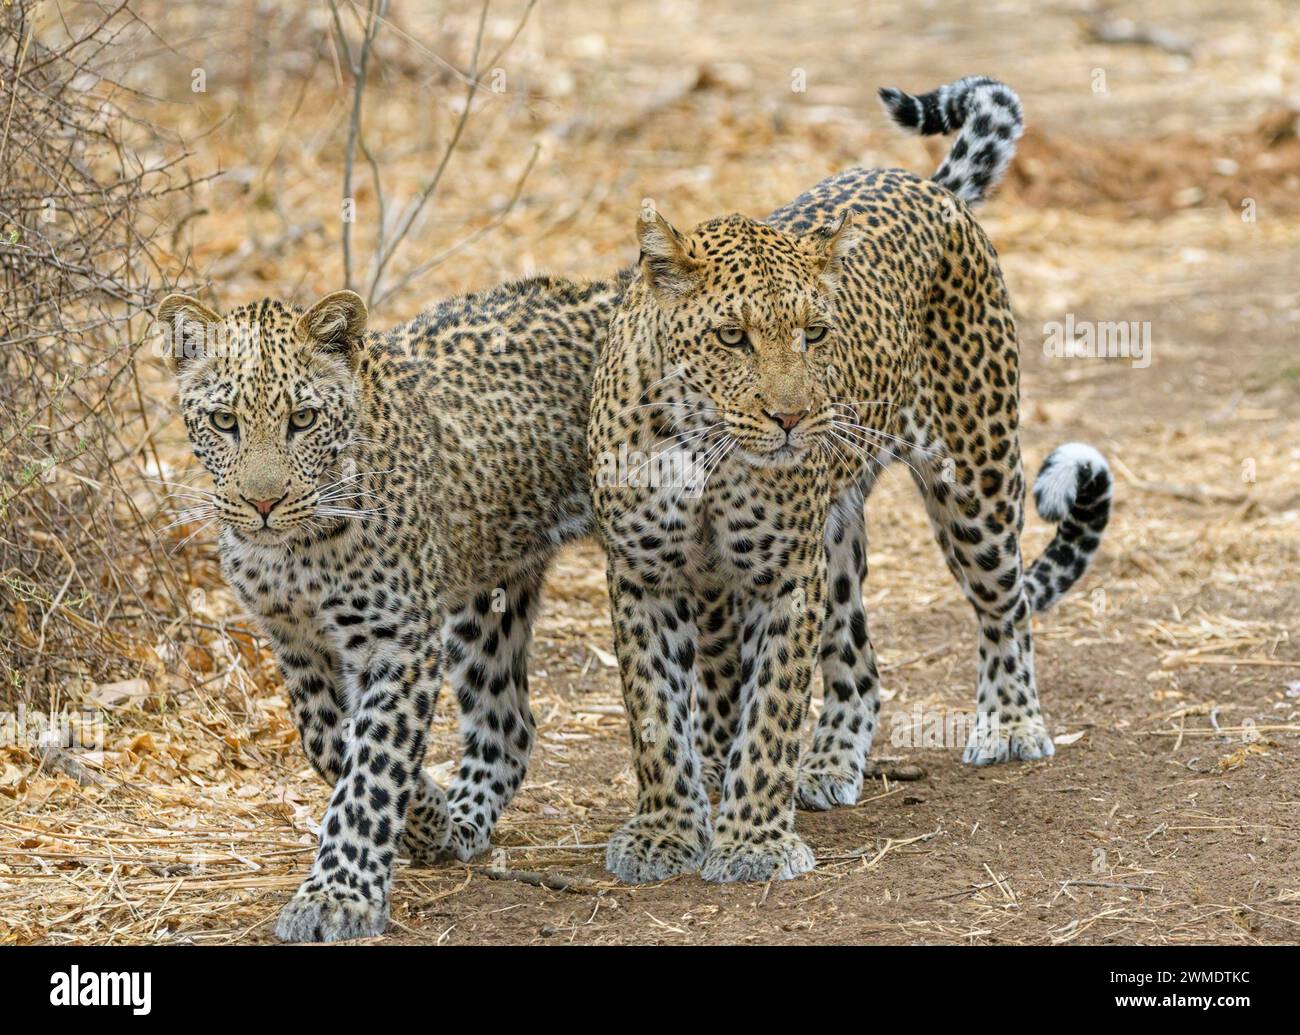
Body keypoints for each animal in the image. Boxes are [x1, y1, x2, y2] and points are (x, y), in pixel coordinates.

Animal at [588, 75, 1113, 885]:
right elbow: (654, 715)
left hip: (975, 478)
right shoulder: (645, 573)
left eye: (816, 333)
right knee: (859, 664)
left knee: (1007, 604)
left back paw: (1011, 725)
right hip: (832, 545)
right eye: (731, 337)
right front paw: (666, 831)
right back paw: (826, 763)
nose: (793, 417)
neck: (703, 450)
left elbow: (771, 711)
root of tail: (930, 185)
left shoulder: (782, 575)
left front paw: (752, 841)